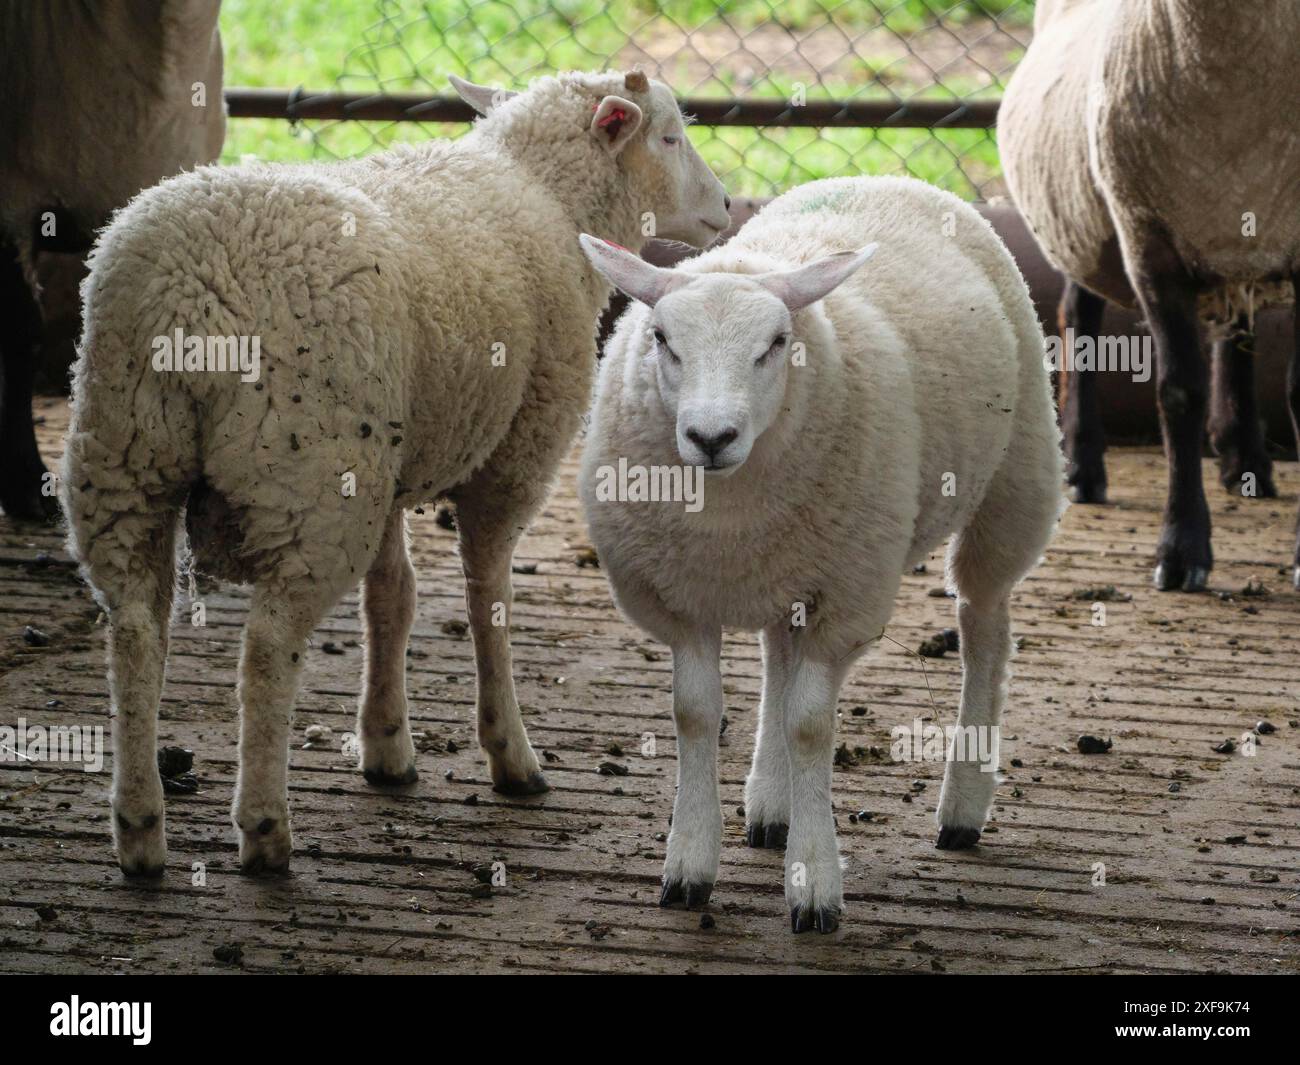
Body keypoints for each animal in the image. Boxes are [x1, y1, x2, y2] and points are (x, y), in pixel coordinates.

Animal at [61, 69, 730, 878]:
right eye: (670, 136)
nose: (728, 207)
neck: (542, 189)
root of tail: (186, 295)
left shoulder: (389, 463)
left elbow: (392, 597)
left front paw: (385, 743)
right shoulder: (513, 456)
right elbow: (488, 600)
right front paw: (510, 752)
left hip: (128, 456)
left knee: (134, 629)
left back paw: (139, 829)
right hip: (308, 473)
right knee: (267, 648)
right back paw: (264, 827)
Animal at [578, 176, 1063, 932]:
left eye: (777, 343)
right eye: (661, 338)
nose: (710, 436)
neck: (732, 510)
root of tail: (888, 177)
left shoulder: (847, 592)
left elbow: (809, 725)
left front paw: (814, 883)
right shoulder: (679, 595)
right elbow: (695, 713)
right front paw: (689, 864)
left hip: (1016, 483)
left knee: (985, 629)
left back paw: (962, 804)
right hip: (795, 560)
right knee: (781, 654)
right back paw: (769, 806)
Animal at [1000, 0, 1300, 590]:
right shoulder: (1146, 237)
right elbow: (1178, 392)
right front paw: (1181, 551)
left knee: (1239, 328)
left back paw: (1244, 459)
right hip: (1082, 209)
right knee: (1078, 314)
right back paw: (1083, 466)